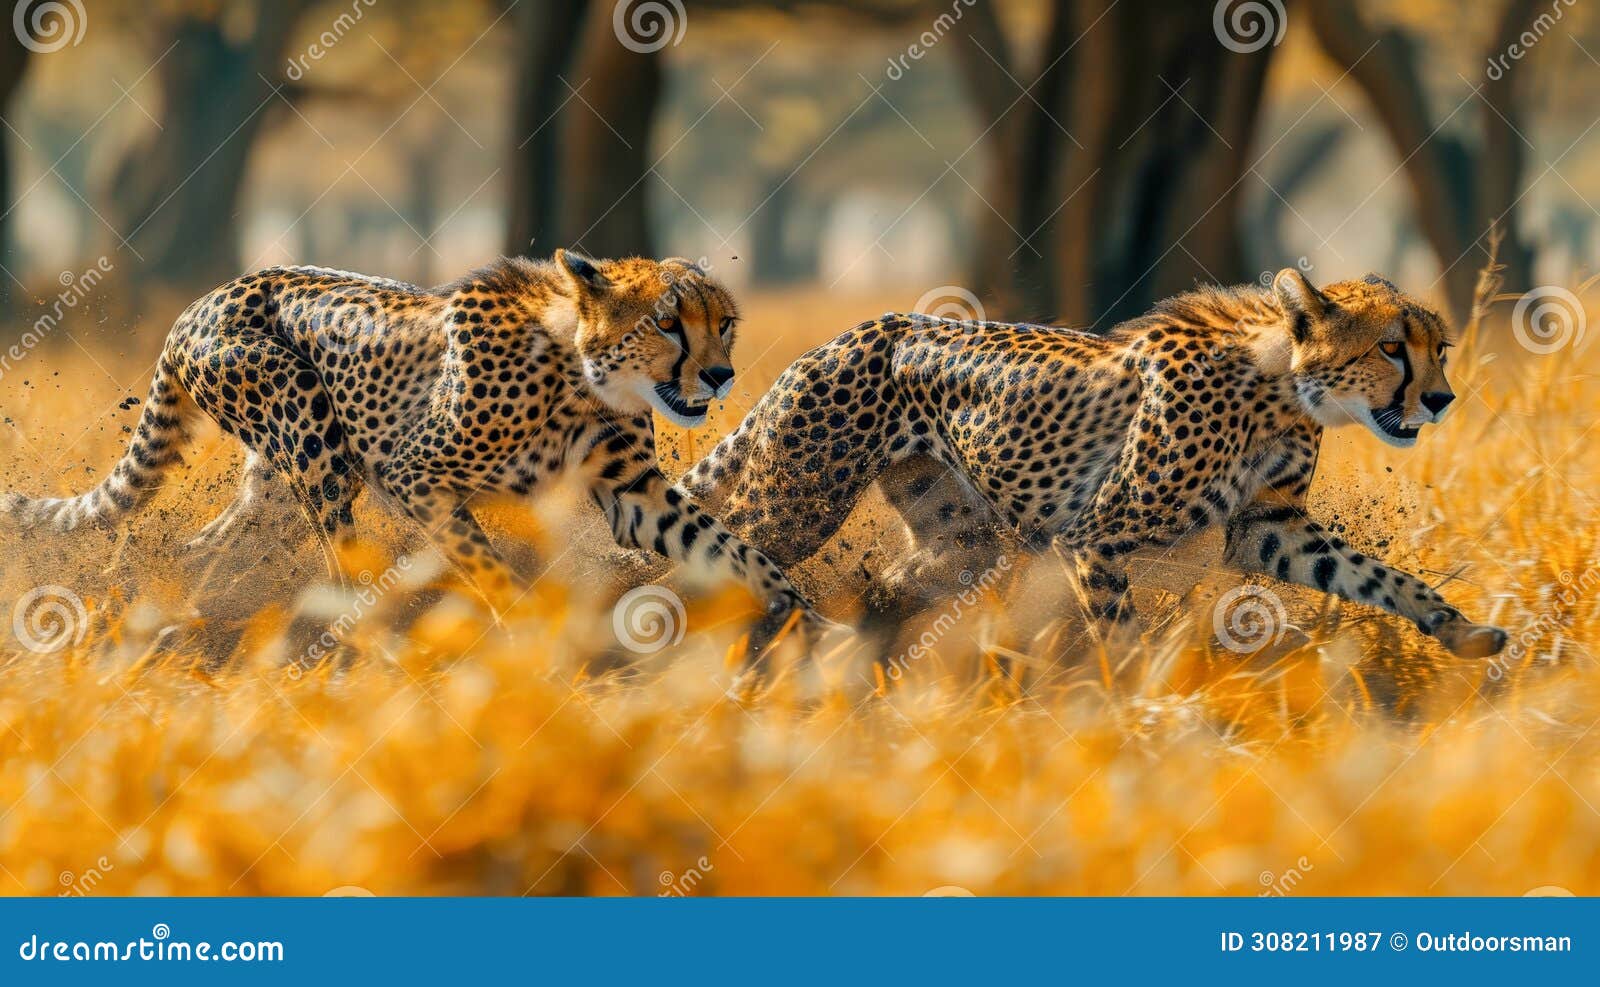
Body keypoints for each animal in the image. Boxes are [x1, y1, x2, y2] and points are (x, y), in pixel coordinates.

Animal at [2, 250, 819, 641]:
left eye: (724, 323)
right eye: (668, 323)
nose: (720, 374)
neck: (582, 371)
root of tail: (200, 301)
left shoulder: (632, 495)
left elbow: (736, 550)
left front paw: (805, 621)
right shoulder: (411, 473)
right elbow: (483, 561)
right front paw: (525, 630)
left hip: (275, 475)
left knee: (209, 538)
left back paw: (186, 600)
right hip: (316, 439)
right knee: (340, 552)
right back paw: (363, 639)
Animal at [672, 268, 1508, 659]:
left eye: (1440, 346)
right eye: (1392, 346)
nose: (1442, 398)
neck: (1282, 386)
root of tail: (845, 335)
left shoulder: (1269, 526)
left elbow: (1381, 577)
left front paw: (1462, 630)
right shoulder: (1094, 536)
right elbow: (1122, 636)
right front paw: (1139, 719)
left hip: (959, 539)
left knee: (875, 588)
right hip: (796, 500)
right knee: (713, 556)